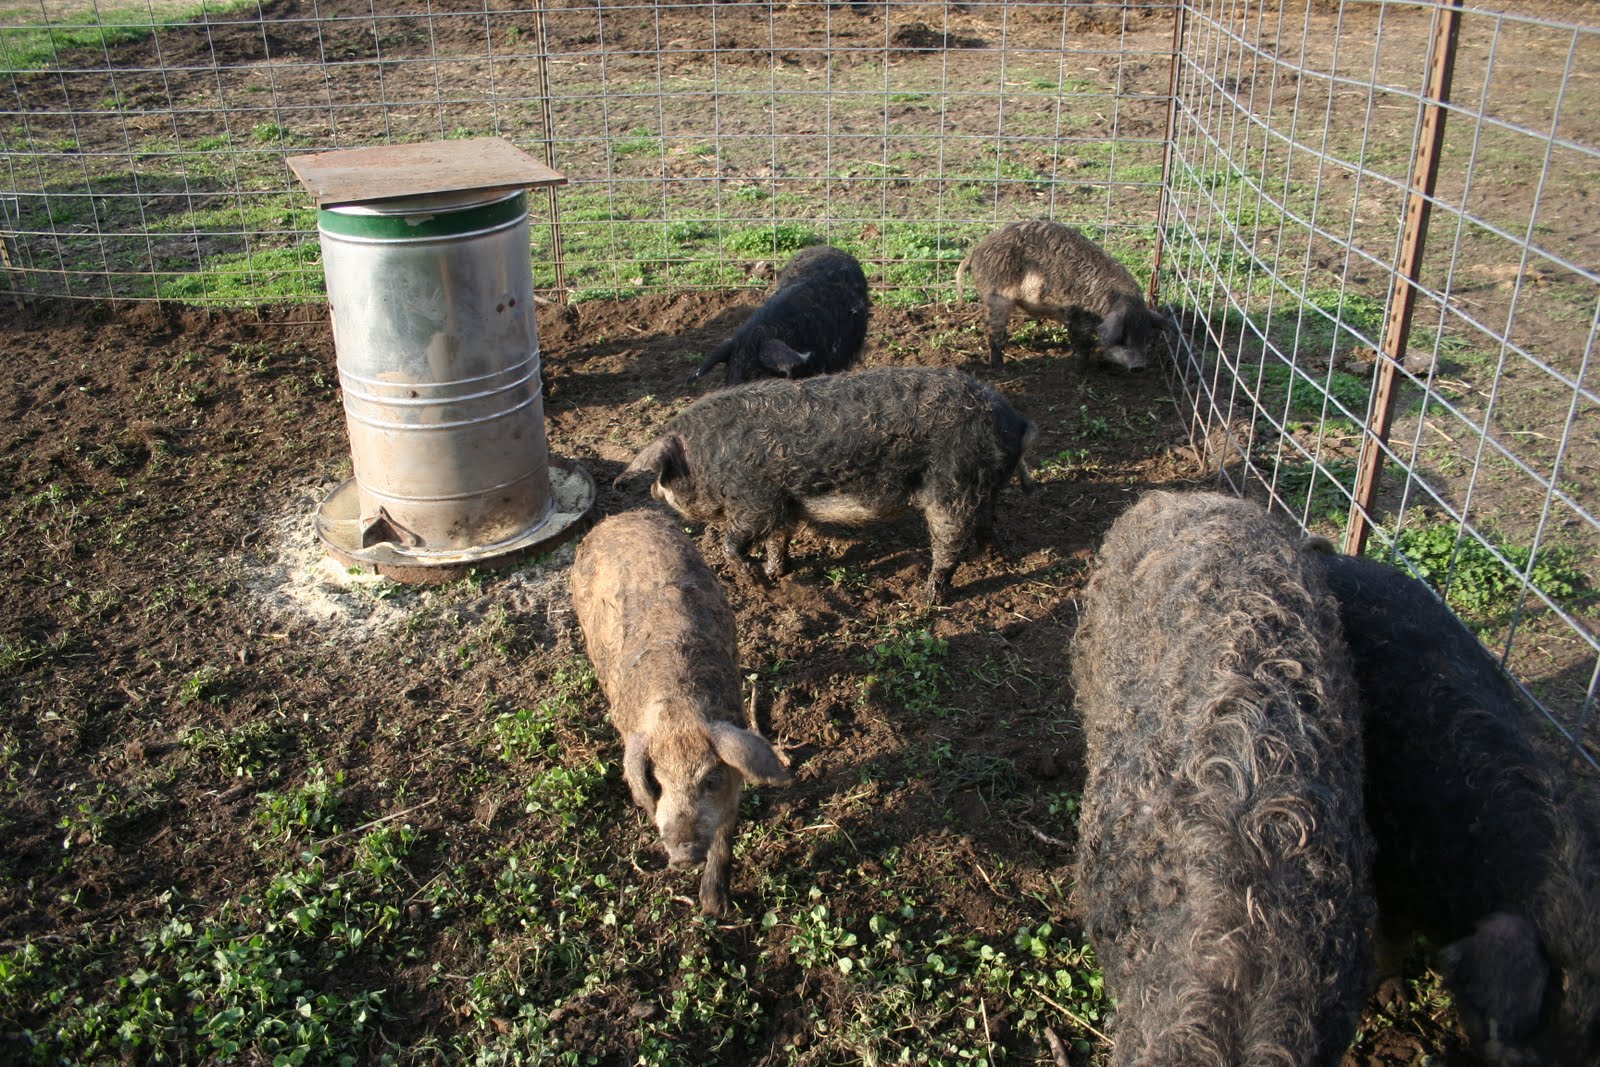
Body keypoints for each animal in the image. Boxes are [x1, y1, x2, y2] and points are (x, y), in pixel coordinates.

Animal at [570, 509, 791, 916]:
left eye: (709, 779)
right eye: (657, 780)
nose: (684, 855)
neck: (678, 716)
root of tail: (620, 516)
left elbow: (724, 836)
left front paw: (713, 908)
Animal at [616, 366, 1037, 604]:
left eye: (665, 476)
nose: (653, 491)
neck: (708, 457)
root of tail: (1016, 420)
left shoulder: (756, 500)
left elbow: (733, 544)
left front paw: (762, 585)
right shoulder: (784, 504)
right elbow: (778, 539)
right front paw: (776, 574)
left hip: (952, 486)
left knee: (949, 542)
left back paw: (926, 598)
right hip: (979, 488)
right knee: (985, 524)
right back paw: (994, 559)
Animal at [954, 218, 1173, 370]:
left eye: (1146, 337)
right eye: (1123, 338)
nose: (1139, 367)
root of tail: (975, 251)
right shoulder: (1077, 317)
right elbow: (1081, 344)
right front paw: (1080, 369)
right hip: (997, 297)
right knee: (993, 331)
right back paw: (999, 366)